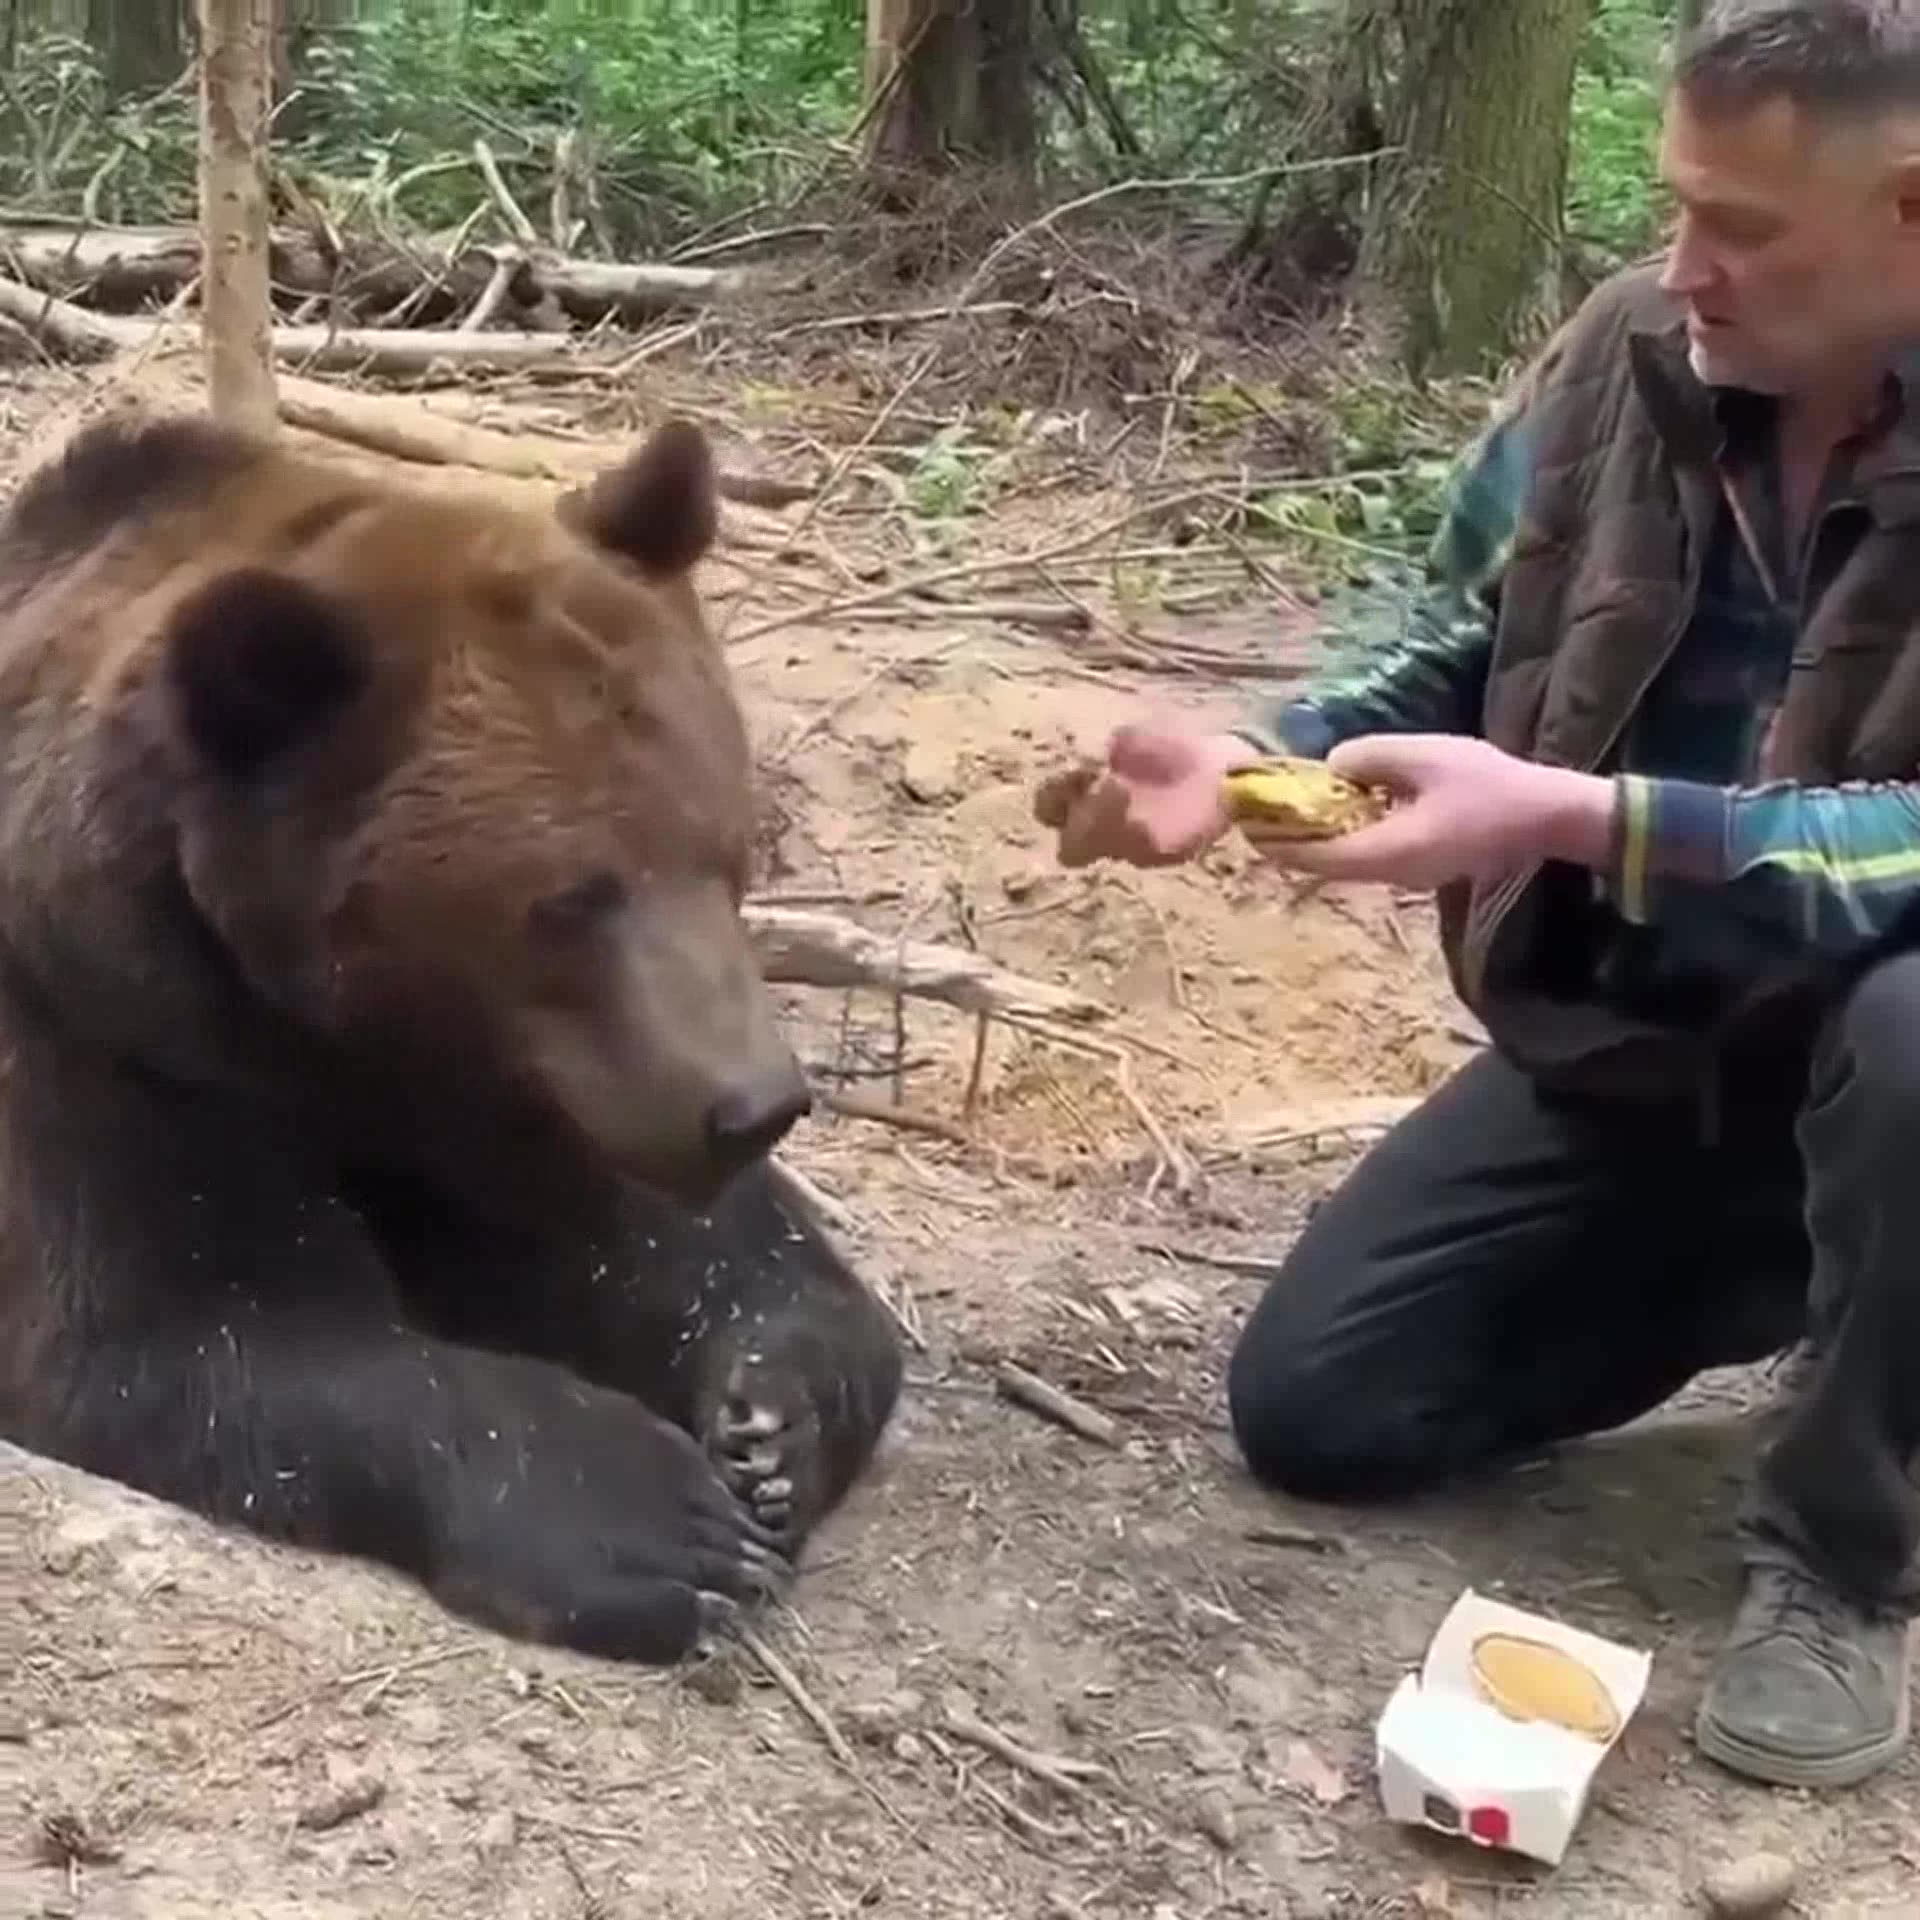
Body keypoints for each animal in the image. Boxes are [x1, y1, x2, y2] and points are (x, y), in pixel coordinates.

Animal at [0, 409, 903, 1663]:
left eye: (729, 848)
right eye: (571, 899)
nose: (756, 1105)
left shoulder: (522, 1095)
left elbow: (679, 1249)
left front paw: (774, 1415)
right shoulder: (114, 1036)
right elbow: (188, 1324)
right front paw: (657, 1522)